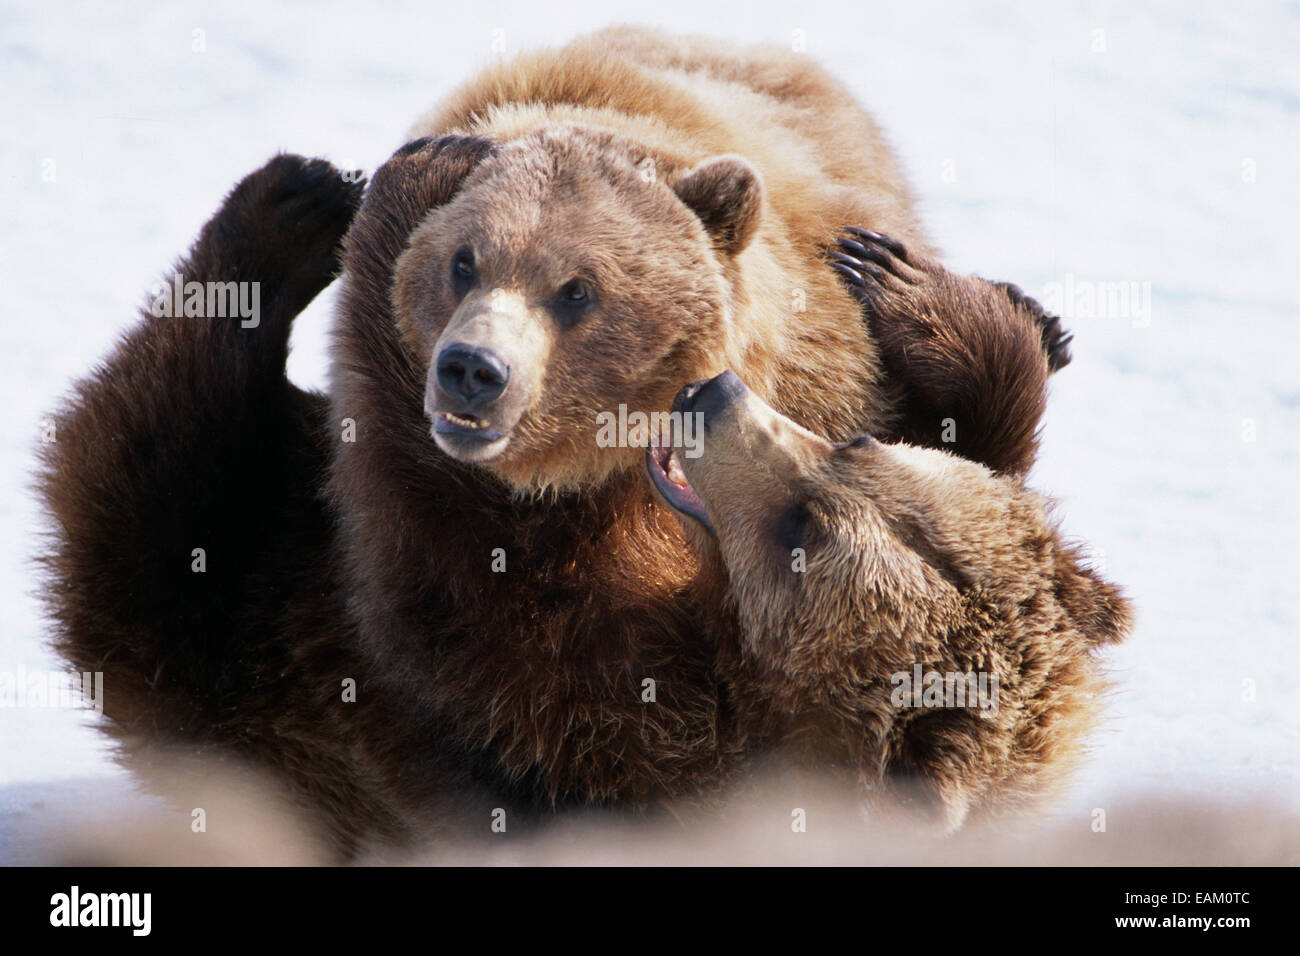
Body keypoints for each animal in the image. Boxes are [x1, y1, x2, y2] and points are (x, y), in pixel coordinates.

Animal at [37, 27, 1077, 856]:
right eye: (465, 261)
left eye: (579, 290)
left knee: (154, 505)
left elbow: (501, 631)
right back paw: (289, 207)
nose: (471, 370)